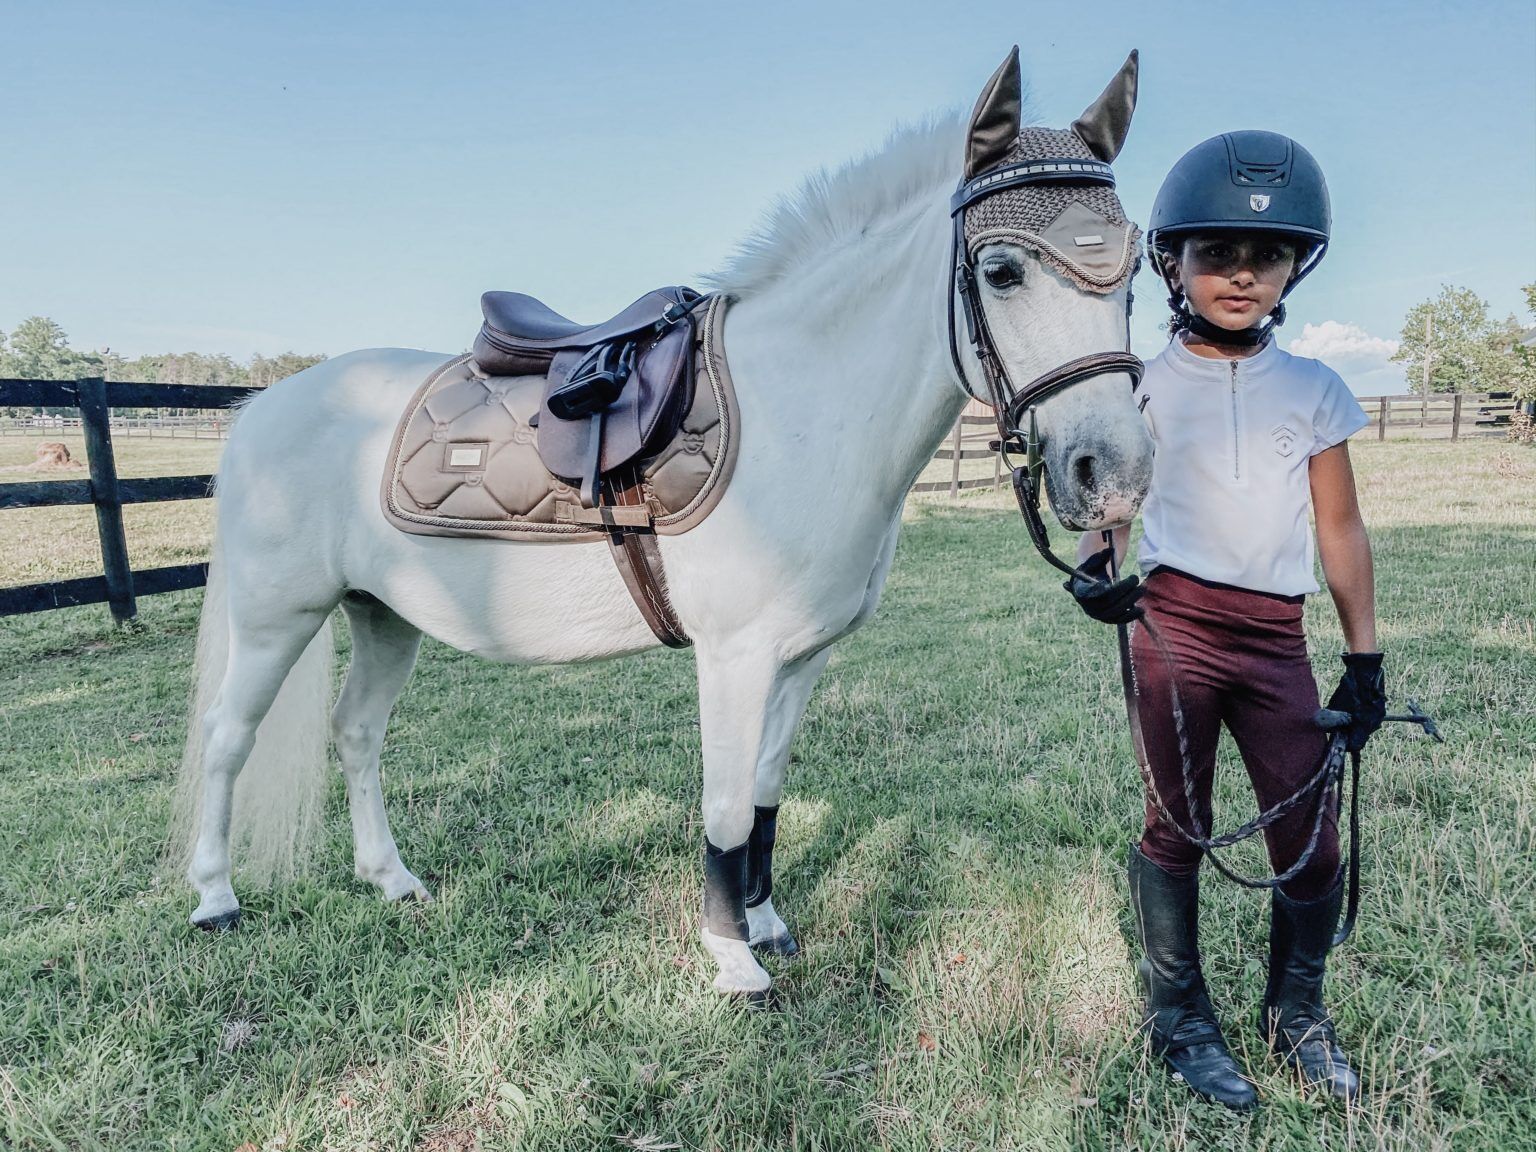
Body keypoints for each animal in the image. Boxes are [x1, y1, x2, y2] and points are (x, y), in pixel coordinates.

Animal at [173, 48, 1156, 997]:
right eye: (1002, 270)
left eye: (1134, 271)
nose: (1113, 475)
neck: (800, 408)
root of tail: (264, 406)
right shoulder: (735, 655)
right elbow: (723, 807)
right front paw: (732, 958)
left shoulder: (803, 656)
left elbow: (763, 797)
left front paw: (765, 921)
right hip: (277, 618)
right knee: (227, 736)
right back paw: (215, 897)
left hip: (383, 615)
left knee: (356, 734)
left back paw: (391, 879)